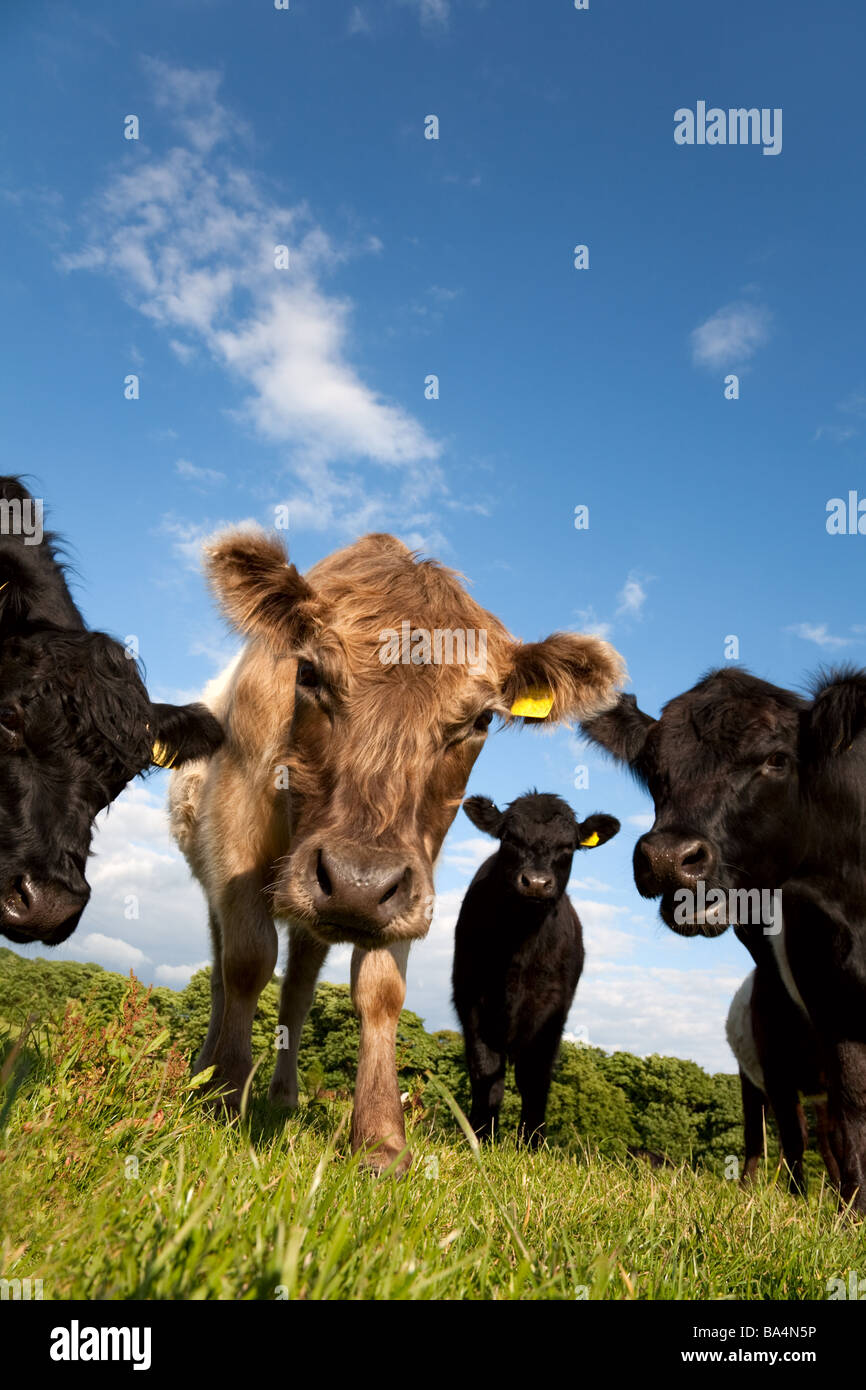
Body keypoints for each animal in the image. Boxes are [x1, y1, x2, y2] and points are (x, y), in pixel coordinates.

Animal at [451, 791, 619, 1146]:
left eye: (569, 846)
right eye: (509, 838)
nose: (537, 883)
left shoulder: (552, 1010)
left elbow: (534, 1077)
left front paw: (530, 1142)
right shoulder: (471, 1000)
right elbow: (486, 1070)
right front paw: (481, 1136)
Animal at [726, 969, 840, 1191]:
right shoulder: (776, 1077)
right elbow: (792, 1137)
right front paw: (798, 1194)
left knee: (823, 1137)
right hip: (751, 1080)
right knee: (756, 1134)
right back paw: (746, 1188)